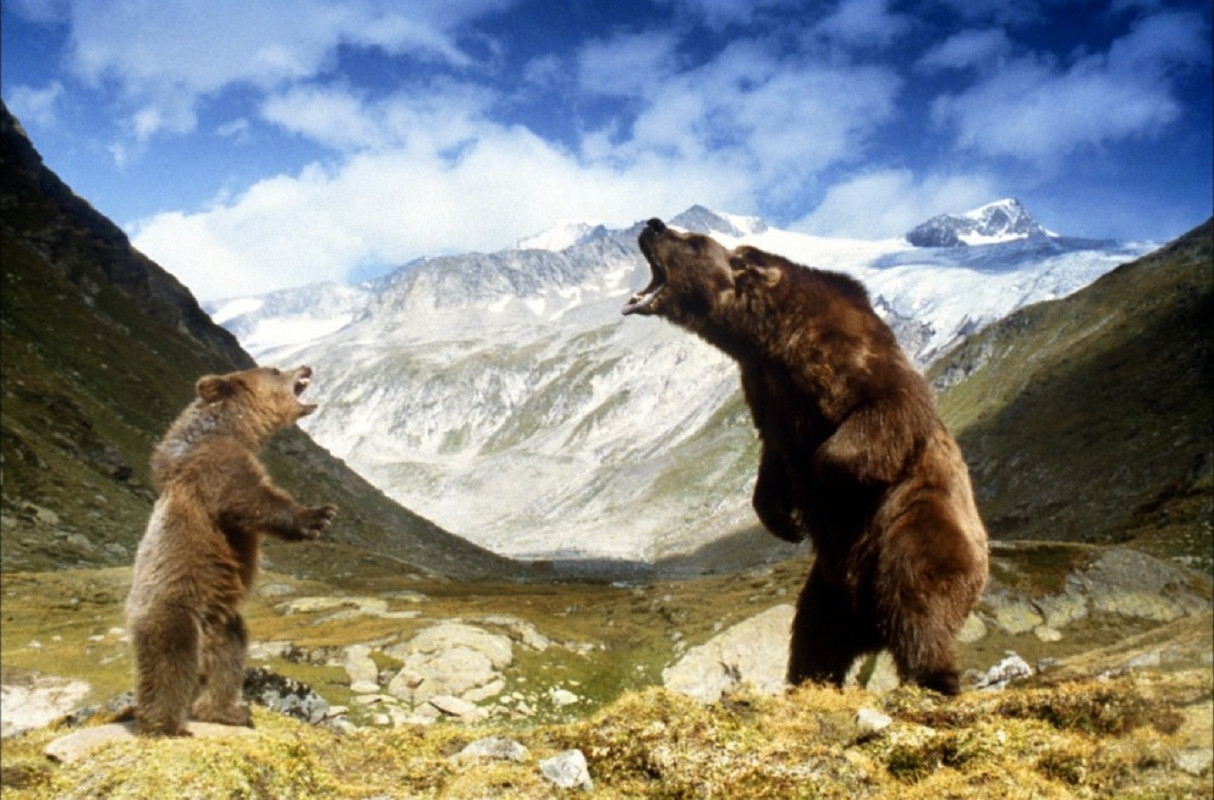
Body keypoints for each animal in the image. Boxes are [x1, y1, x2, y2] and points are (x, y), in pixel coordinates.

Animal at [125, 365, 338, 735]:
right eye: (274, 370)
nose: (306, 368)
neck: (234, 430)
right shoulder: (217, 463)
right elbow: (249, 498)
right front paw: (319, 515)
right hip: (173, 610)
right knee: (170, 663)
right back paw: (165, 725)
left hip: (223, 619)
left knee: (228, 658)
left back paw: (228, 711)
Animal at [623, 218, 988, 695]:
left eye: (694, 241)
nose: (652, 225)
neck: (768, 339)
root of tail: (868, 622)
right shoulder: (767, 393)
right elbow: (773, 458)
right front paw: (784, 520)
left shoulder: (853, 357)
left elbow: (884, 409)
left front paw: (824, 483)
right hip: (826, 587)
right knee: (815, 634)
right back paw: (808, 681)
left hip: (916, 528)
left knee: (918, 600)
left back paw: (934, 678)